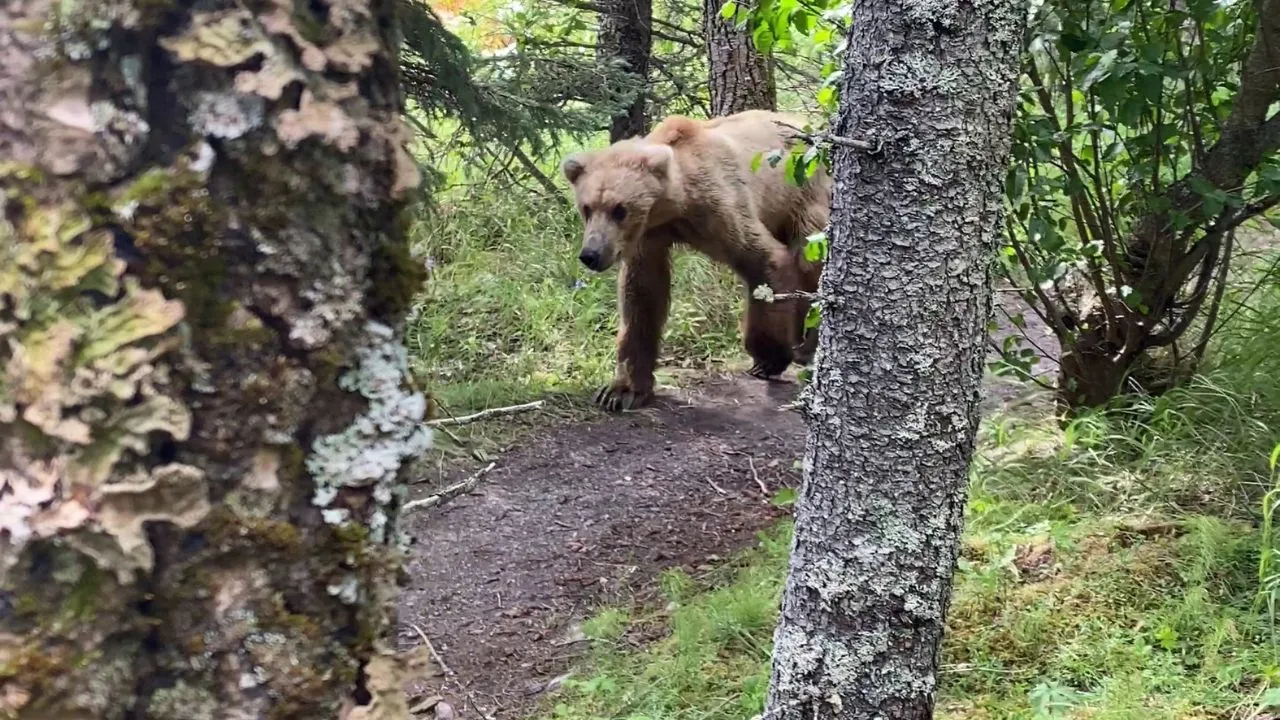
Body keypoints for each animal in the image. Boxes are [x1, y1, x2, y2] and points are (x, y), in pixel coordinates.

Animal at [560, 109, 831, 411]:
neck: (676, 205)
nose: (591, 254)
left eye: (620, 209)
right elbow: (641, 297)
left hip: (804, 190)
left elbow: (766, 261)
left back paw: (807, 347)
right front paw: (622, 390)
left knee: (810, 259)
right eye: (587, 208)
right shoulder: (649, 237)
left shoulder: (721, 208)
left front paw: (767, 359)